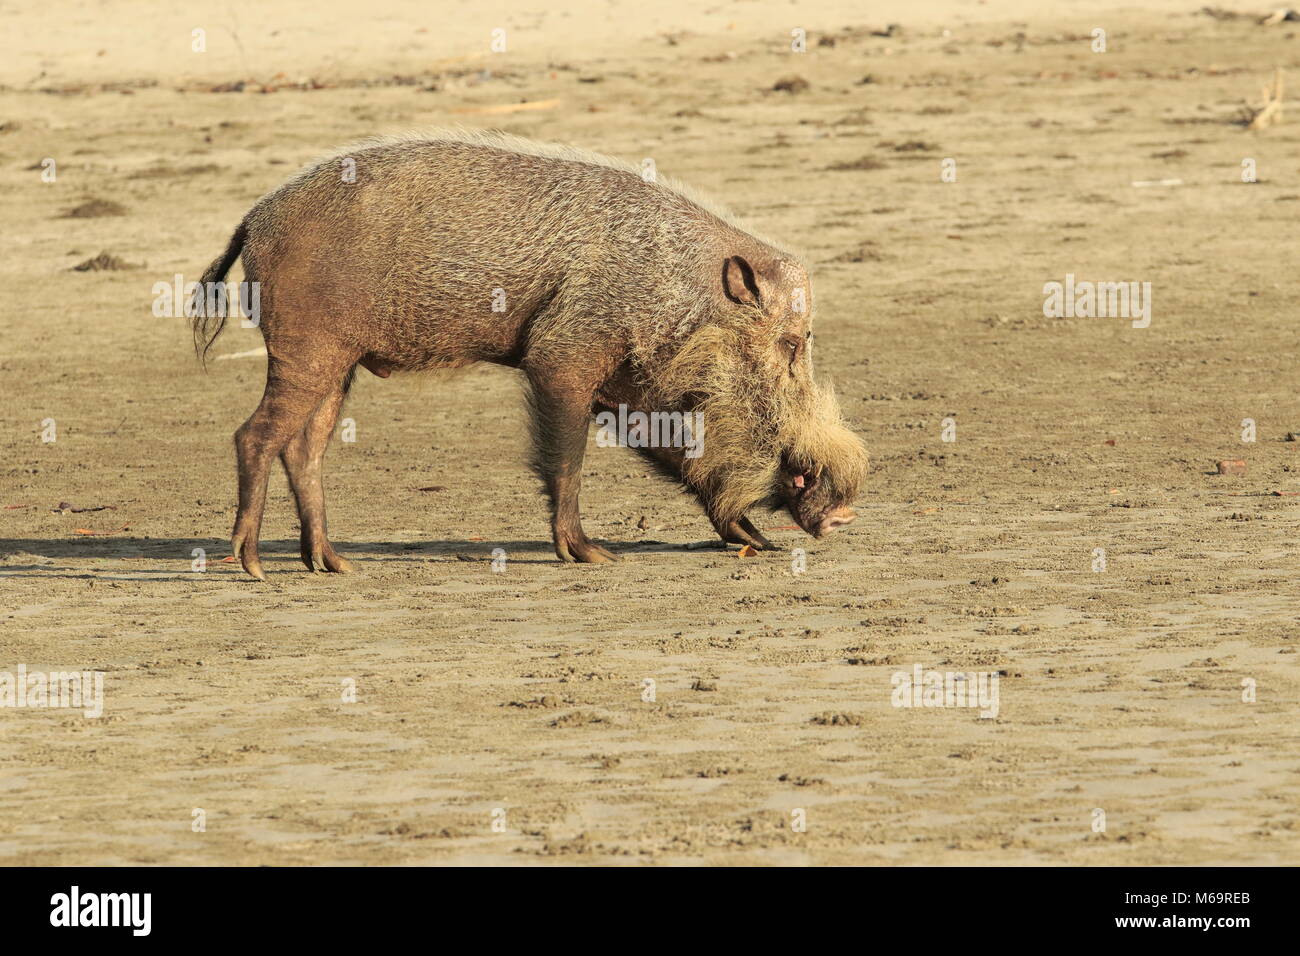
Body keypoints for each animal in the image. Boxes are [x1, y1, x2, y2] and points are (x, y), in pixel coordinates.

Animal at [191, 129, 868, 579]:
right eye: (791, 344)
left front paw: (756, 540)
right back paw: (252, 565)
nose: (842, 514)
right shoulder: (562, 358)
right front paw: (593, 556)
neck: (674, 292)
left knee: (304, 449)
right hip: (306, 349)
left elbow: (680, 455)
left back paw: (334, 565)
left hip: (336, 364)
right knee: (254, 436)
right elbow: (565, 459)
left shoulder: (628, 390)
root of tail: (253, 219)